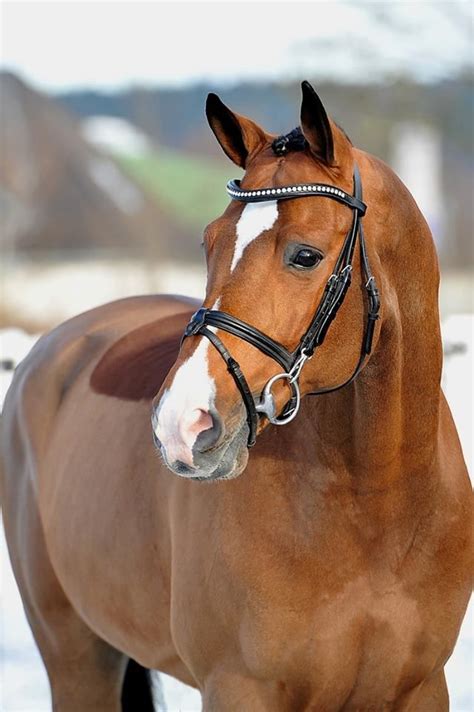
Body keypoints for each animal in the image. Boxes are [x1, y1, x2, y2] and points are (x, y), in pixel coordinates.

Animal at [1, 81, 471, 711]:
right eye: (209, 242)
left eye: (305, 255)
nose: (183, 425)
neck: (375, 502)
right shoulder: (238, 688)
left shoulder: (421, 689)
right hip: (76, 656)